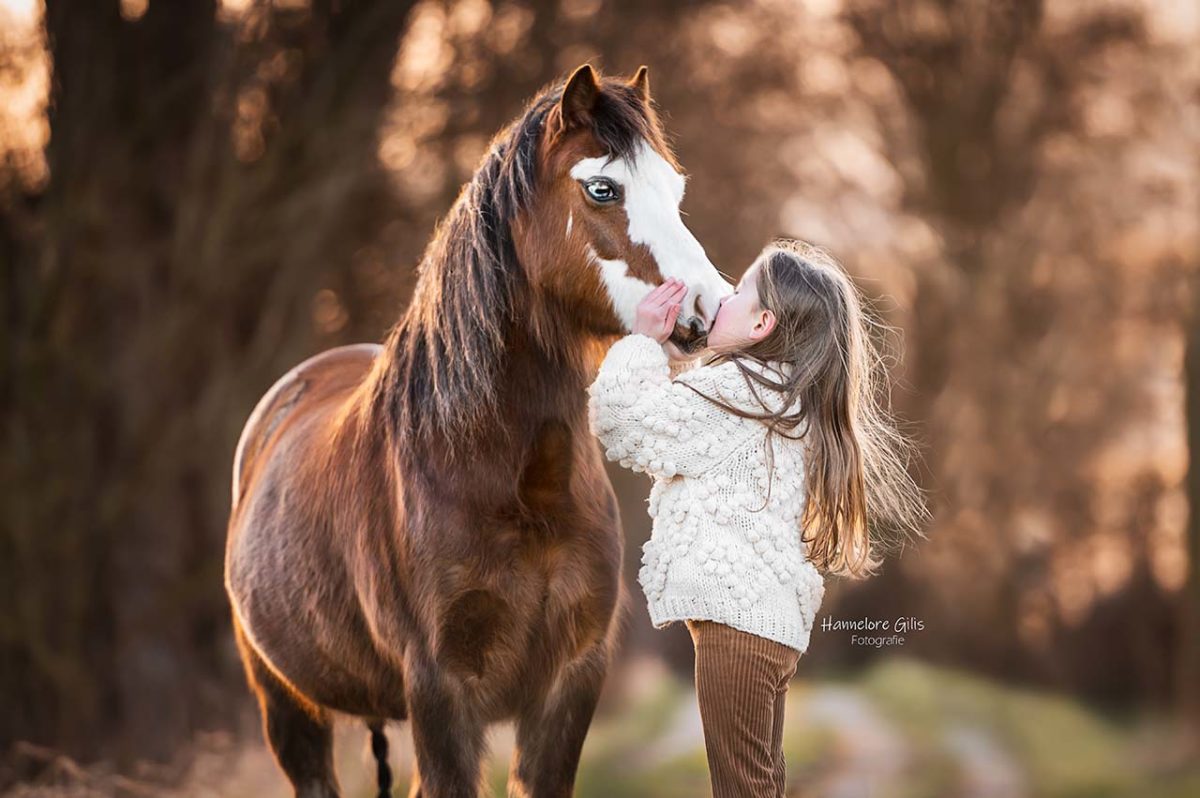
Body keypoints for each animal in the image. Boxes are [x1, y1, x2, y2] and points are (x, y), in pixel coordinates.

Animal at [224, 63, 732, 798]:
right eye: (602, 188)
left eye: (675, 189)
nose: (709, 307)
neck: (511, 483)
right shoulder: (442, 693)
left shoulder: (570, 684)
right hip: (287, 706)